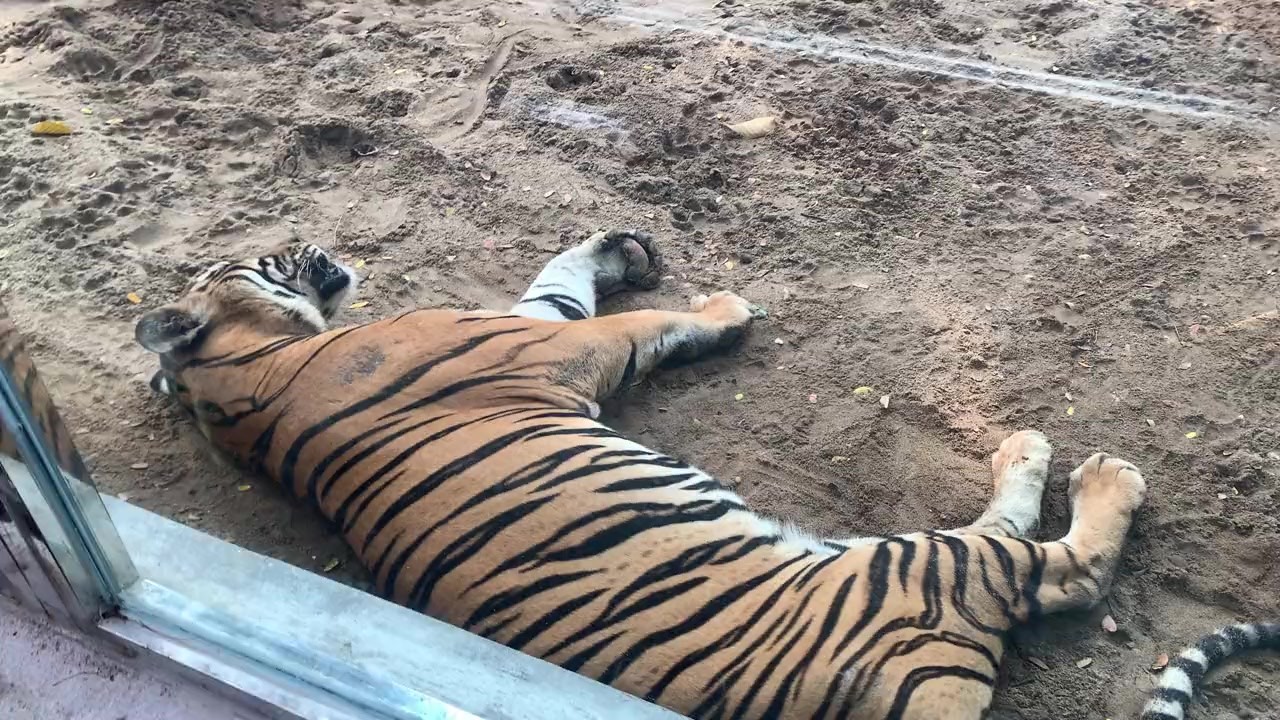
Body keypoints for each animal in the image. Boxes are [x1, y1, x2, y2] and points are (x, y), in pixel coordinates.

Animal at [132, 230, 1274, 719]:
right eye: (270, 252)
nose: (318, 241)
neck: (241, 381)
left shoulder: (533, 326)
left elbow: (564, 270)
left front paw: (618, 243)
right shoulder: (544, 343)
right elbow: (629, 318)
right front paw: (725, 306)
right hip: (914, 570)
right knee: (1043, 563)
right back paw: (1074, 463)